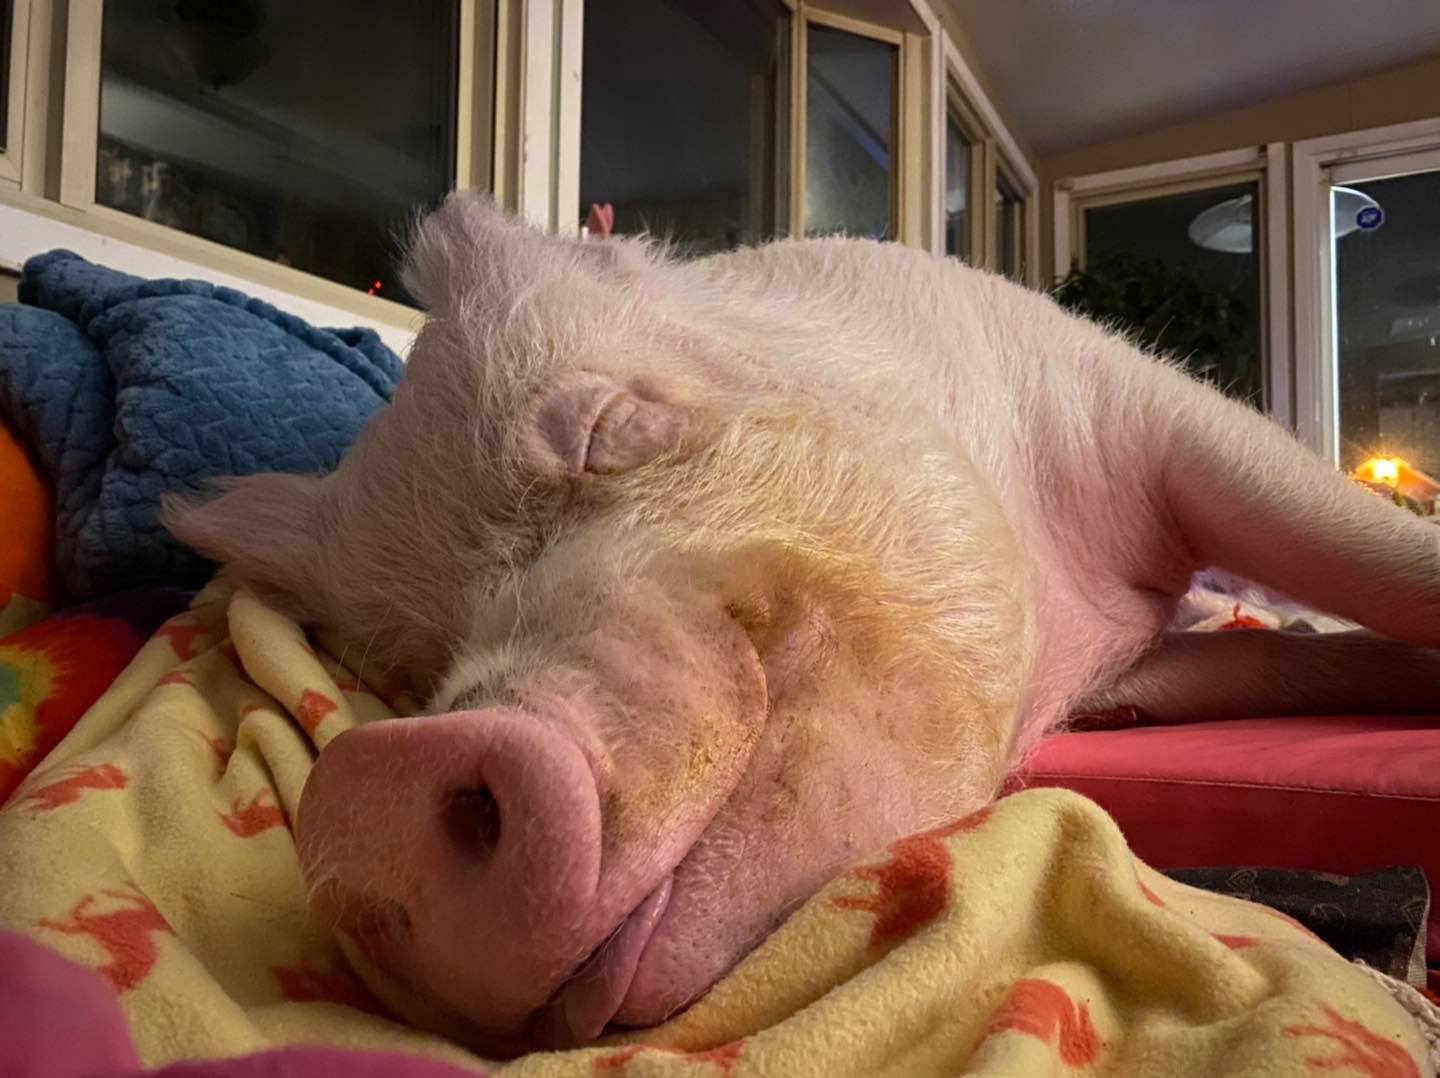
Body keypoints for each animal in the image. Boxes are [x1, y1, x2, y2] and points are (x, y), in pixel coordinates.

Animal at [167, 193, 1440, 1055]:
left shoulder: (1135, 401)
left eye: (599, 427)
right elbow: (1294, 662)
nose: (368, 789)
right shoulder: (1140, 663)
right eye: (410, 654)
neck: (1072, 629)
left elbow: (1362, 550)